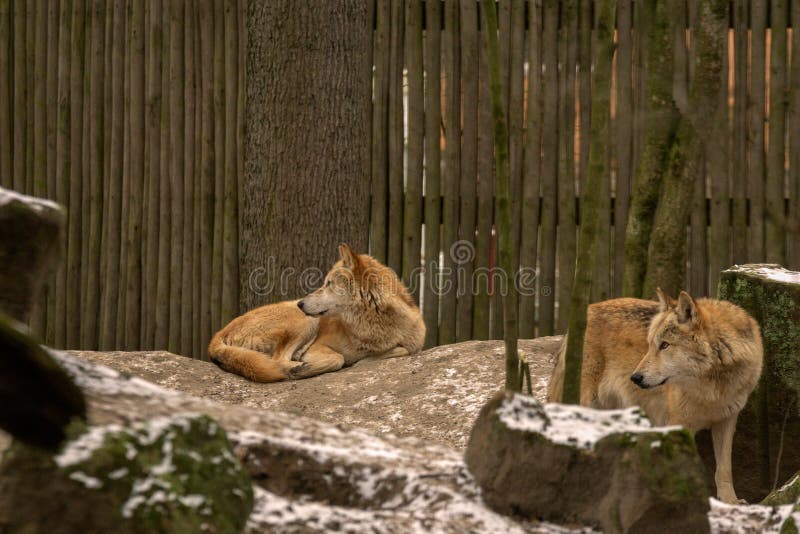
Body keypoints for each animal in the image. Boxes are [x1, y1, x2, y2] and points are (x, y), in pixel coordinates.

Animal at [208, 244, 426, 382]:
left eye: (328, 283)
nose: (301, 303)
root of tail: (218, 335)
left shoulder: (413, 345)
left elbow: (403, 350)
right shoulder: (318, 347)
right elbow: (338, 358)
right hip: (305, 323)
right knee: (277, 361)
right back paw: (296, 368)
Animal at [548, 289, 763, 504]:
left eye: (664, 345)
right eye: (650, 344)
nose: (635, 377)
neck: (711, 388)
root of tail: (587, 310)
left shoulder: (726, 421)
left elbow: (724, 469)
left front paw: (730, 502)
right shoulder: (679, 425)